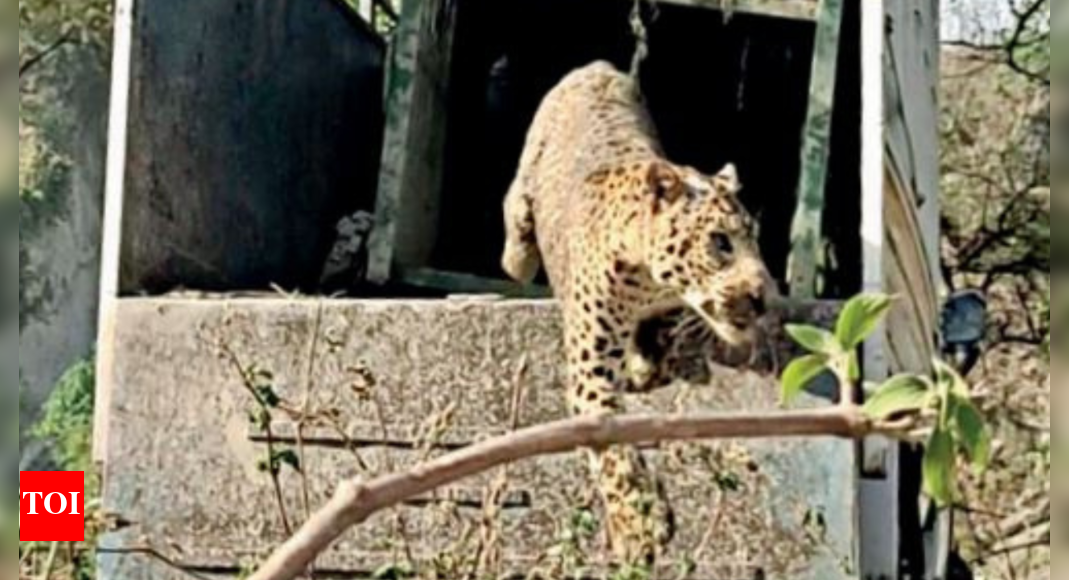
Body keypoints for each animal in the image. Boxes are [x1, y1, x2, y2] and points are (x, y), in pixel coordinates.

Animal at [500, 61, 777, 567]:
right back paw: (521, 255)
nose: (762, 296)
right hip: (526, 178)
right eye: (721, 243)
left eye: (754, 239)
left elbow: (660, 352)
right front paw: (642, 525)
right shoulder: (590, 370)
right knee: (516, 219)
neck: (651, 280)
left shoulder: (668, 316)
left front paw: (645, 365)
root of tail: (594, 67)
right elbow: (612, 447)